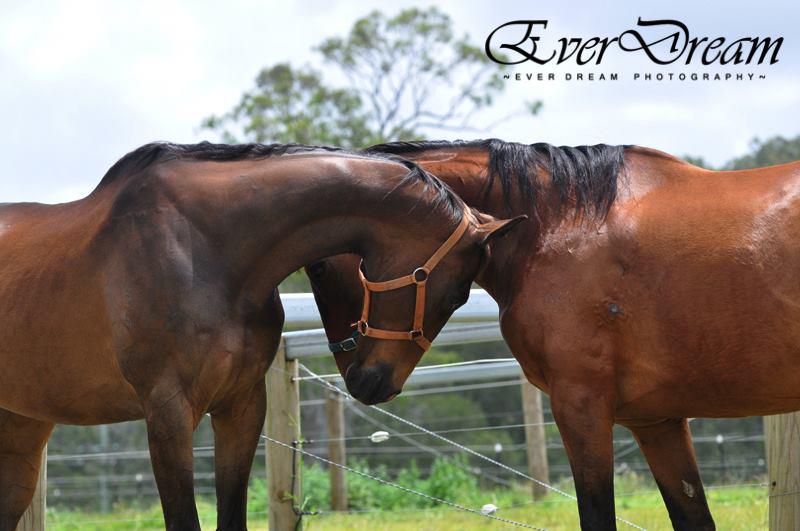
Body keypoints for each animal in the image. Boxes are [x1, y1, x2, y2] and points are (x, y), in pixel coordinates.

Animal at [0, 141, 521, 531]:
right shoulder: (168, 412)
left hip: (23, 427)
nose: (373, 383)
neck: (205, 250)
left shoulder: (242, 406)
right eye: (454, 293)